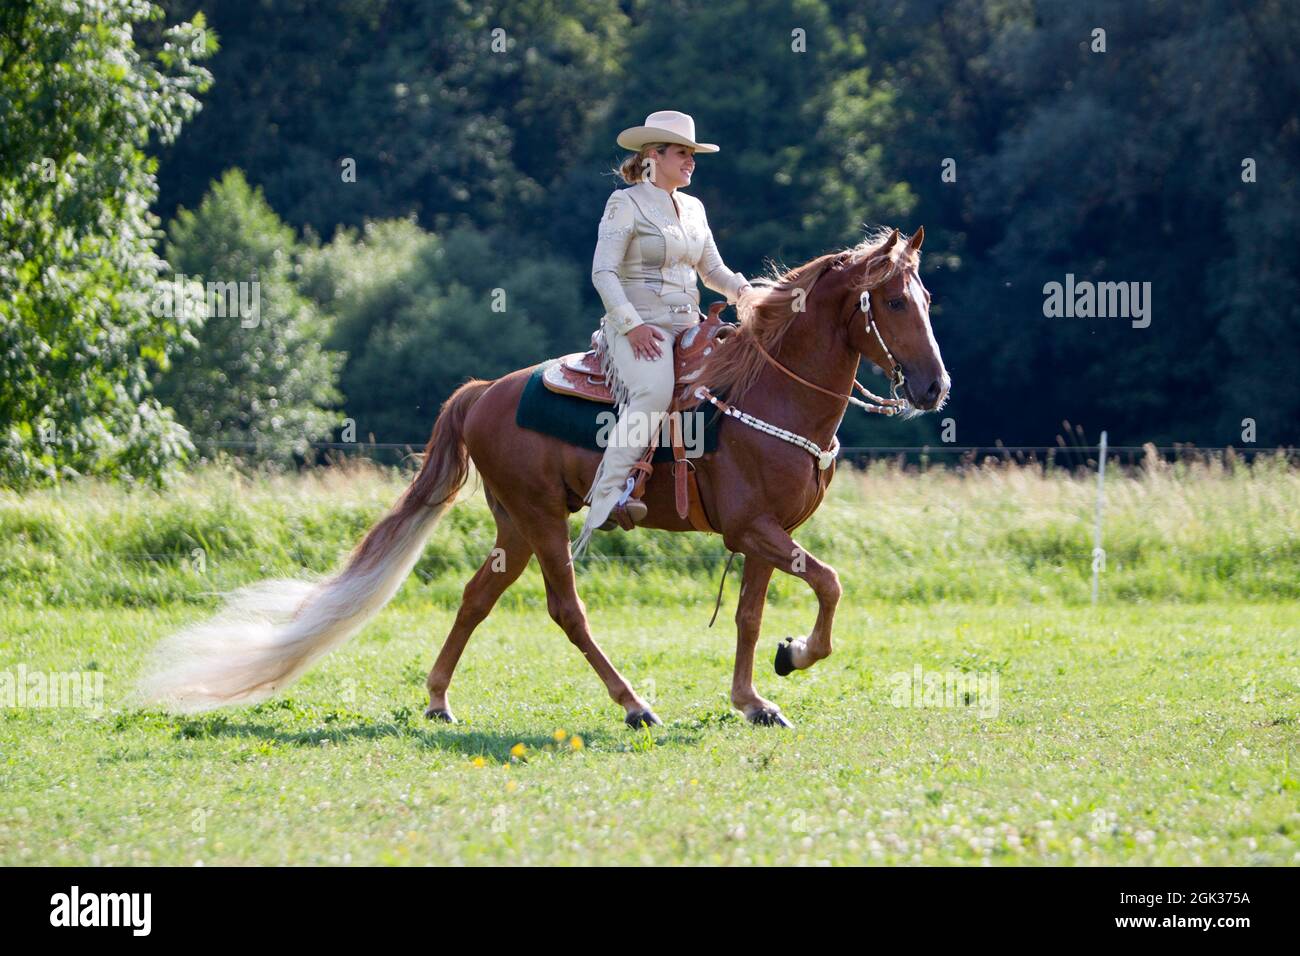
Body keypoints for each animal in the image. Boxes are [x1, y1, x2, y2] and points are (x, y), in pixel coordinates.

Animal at [139, 226, 949, 729]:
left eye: (927, 299)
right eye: (895, 300)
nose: (934, 387)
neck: (765, 390)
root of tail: (480, 392)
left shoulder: (758, 535)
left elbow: (752, 616)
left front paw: (756, 697)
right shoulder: (757, 528)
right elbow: (831, 583)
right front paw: (796, 657)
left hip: (517, 524)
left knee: (477, 596)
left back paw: (438, 701)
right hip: (542, 521)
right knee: (567, 610)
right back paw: (633, 704)